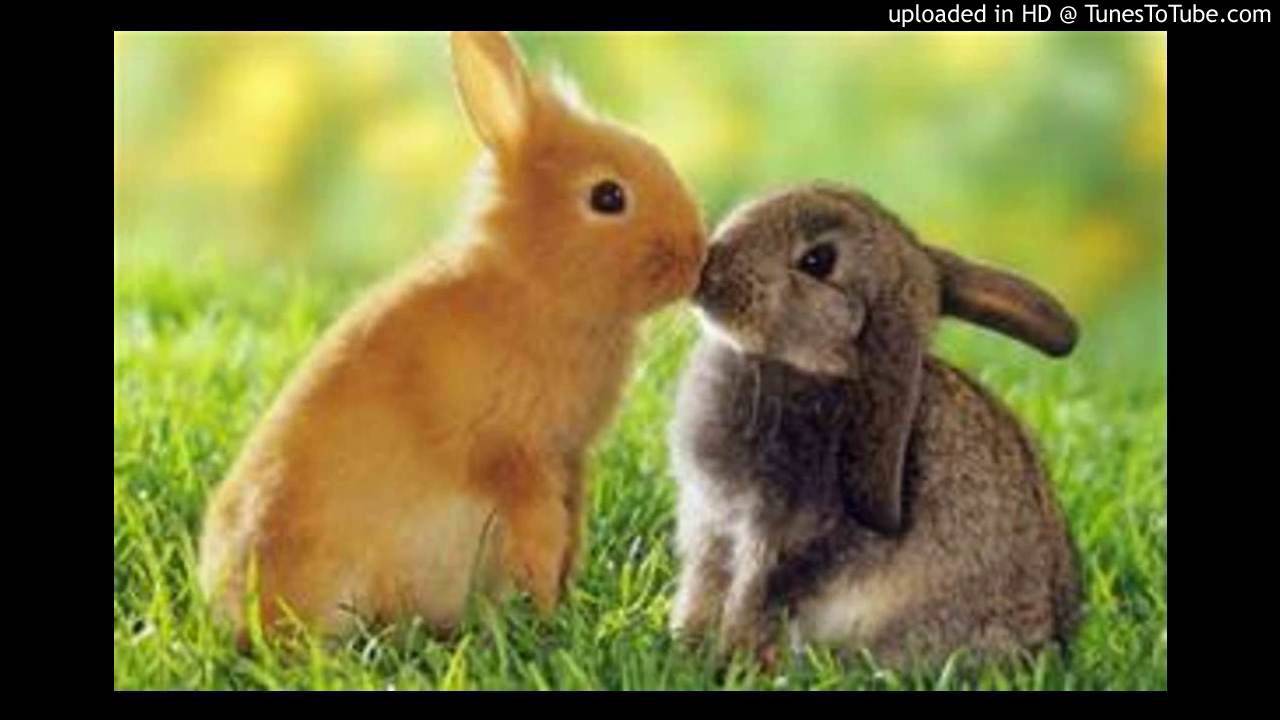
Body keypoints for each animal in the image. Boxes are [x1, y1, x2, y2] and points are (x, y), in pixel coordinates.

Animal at [198, 31, 706, 647]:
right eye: (607, 197)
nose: (697, 257)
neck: (534, 283)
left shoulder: (568, 460)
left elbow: (571, 532)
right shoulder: (518, 459)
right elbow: (542, 538)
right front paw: (549, 617)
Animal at [666, 181, 1081, 671]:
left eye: (817, 261)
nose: (708, 269)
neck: (817, 368)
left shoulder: (779, 531)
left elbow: (752, 595)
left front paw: (729, 659)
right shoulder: (711, 523)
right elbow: (703, 585)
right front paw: (683, 643)